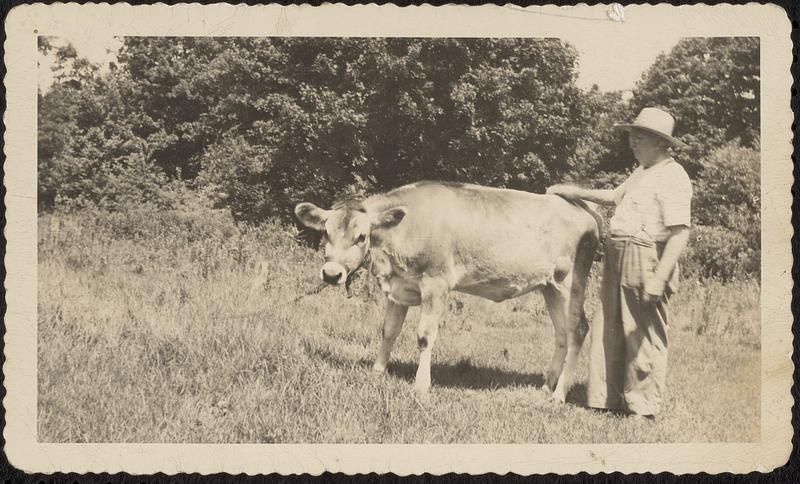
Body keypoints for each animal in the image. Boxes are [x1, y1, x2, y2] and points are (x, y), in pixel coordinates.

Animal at [295, 181, 601, 402]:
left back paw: (559, 395)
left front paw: (421, 385)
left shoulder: (436, 283)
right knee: (561, 333)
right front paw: (377, 372)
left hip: (570, 282)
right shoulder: (399, 286)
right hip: (550, 287)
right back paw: (546, 386)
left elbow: (424, 336)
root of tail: (581, 208)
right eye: (326, 233)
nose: (331, 273)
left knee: (578, 329)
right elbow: (388, 331)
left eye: (361, 237)